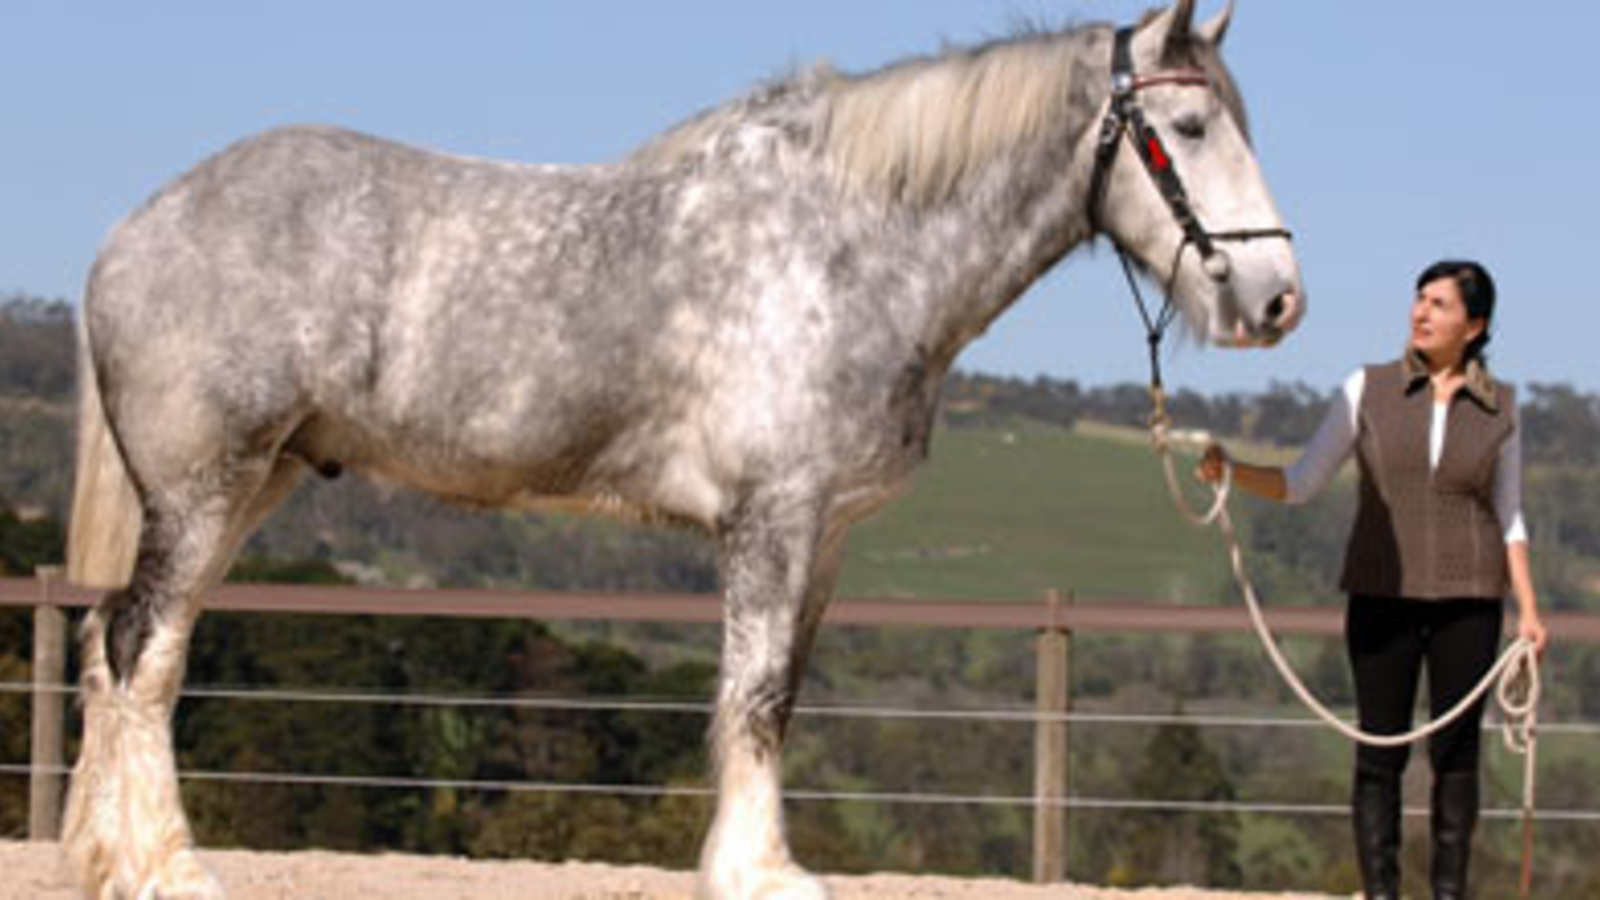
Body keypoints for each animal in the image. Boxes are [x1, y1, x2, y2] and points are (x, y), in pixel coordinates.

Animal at [61, 2, 1302, 897]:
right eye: (1189, 130)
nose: (1276, 298)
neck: (848, 244)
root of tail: (136, 229)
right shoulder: (770, 519)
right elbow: (749, 697)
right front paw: (760, 875)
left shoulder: (825, 536)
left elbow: (780, 697)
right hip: (206, 485)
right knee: (142, 652)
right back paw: (167, 869)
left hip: (251, 482)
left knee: (119, 650)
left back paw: (109, 859)